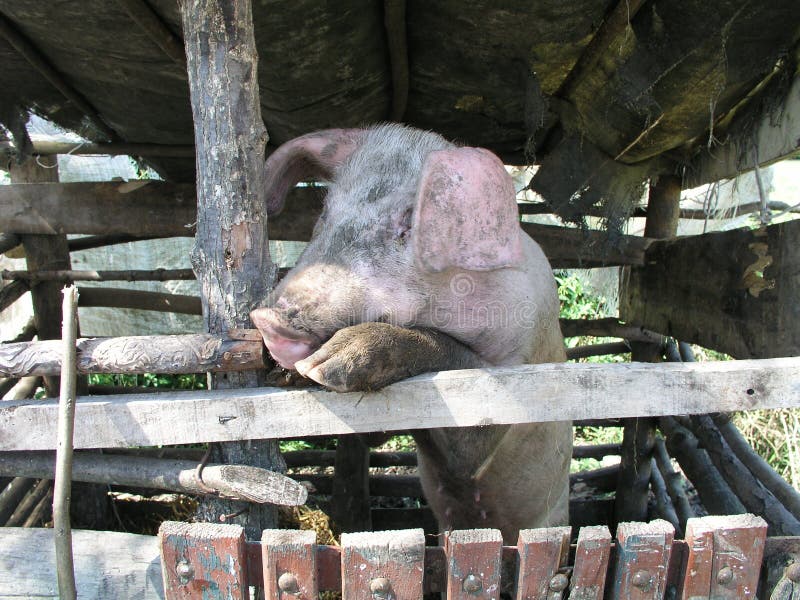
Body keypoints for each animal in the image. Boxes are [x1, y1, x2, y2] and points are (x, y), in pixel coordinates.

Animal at [251, 124, 572, 543]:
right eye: (326, 211)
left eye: (409, 224)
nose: (267, 319)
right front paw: (291, 376)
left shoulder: (513, 388)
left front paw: (323, 367)